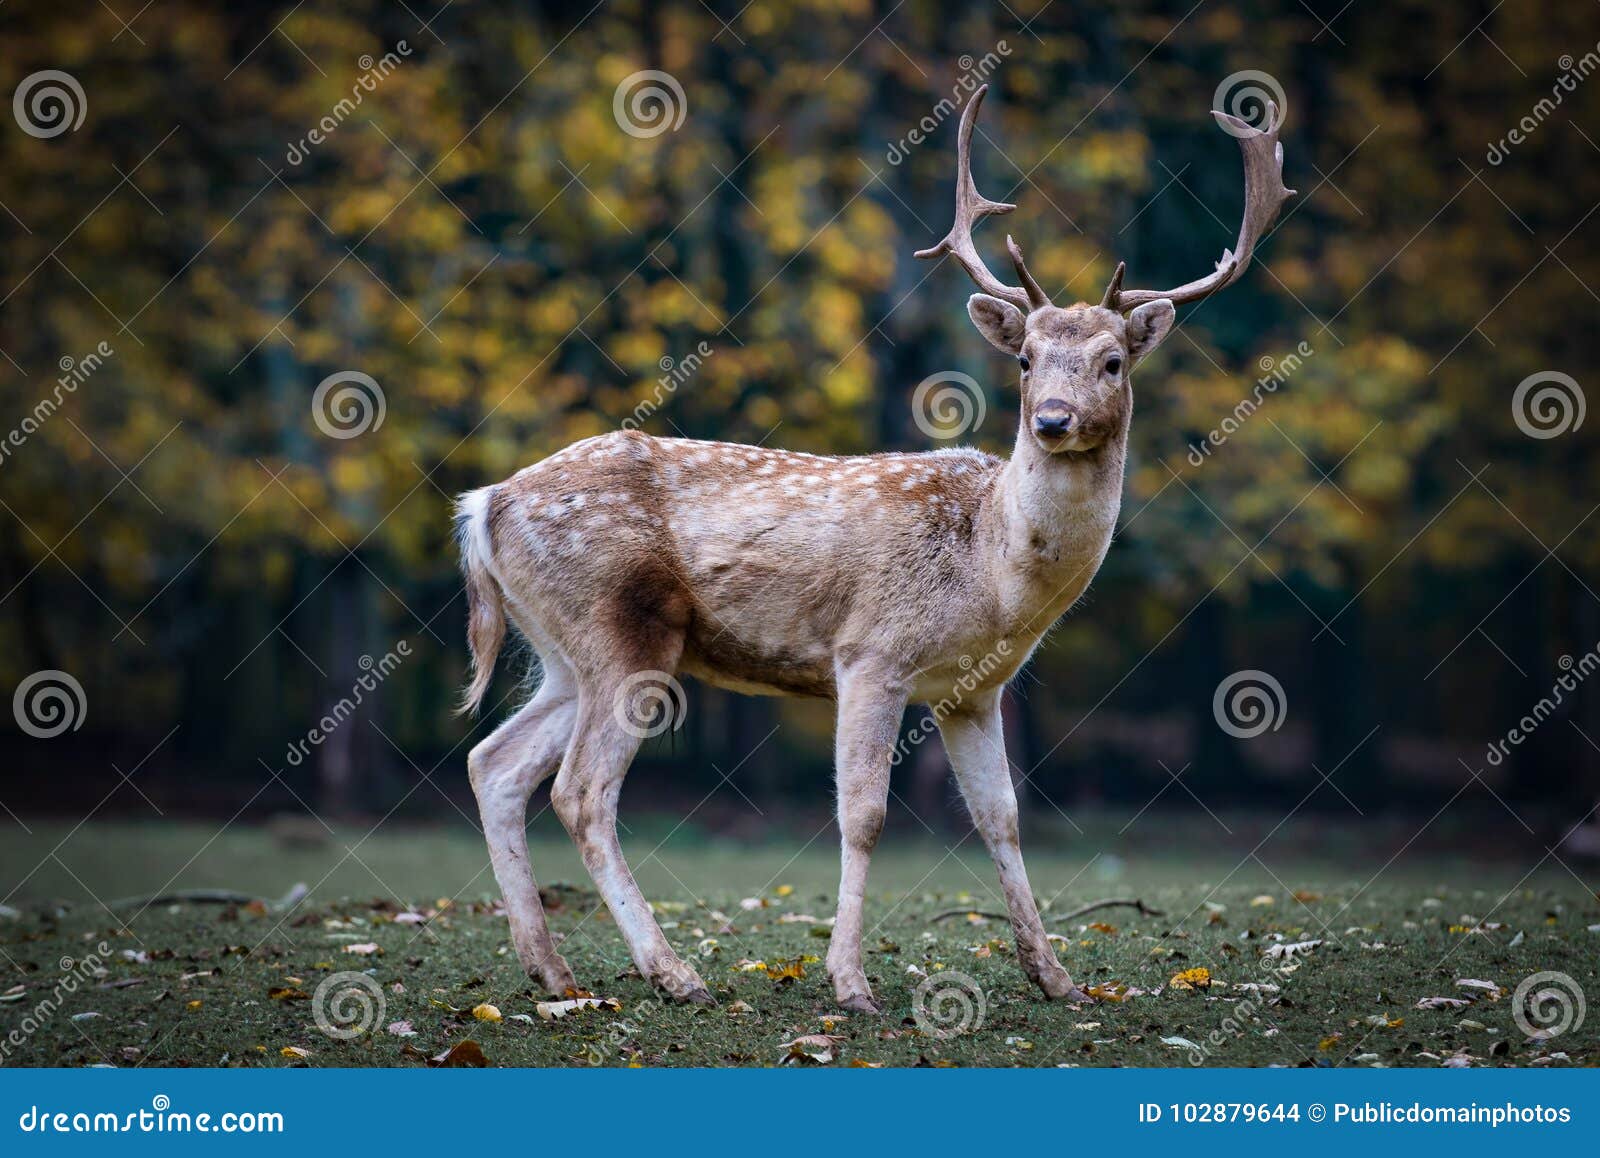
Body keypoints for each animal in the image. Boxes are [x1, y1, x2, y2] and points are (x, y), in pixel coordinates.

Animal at [456, 83, 1292, 1011]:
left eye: (1113, 361)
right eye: (1028, 359)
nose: (1051, 419)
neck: (992, 573)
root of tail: (483, 505)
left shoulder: (974, 691)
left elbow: (1001, 818)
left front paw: (1057, 977)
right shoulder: (870, 653)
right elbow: (864, 816)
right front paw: (850, 982)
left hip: (563, 650)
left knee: (494, 763)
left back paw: (550, 969)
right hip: (620, 628)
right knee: (579, 792)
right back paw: (674, 973)